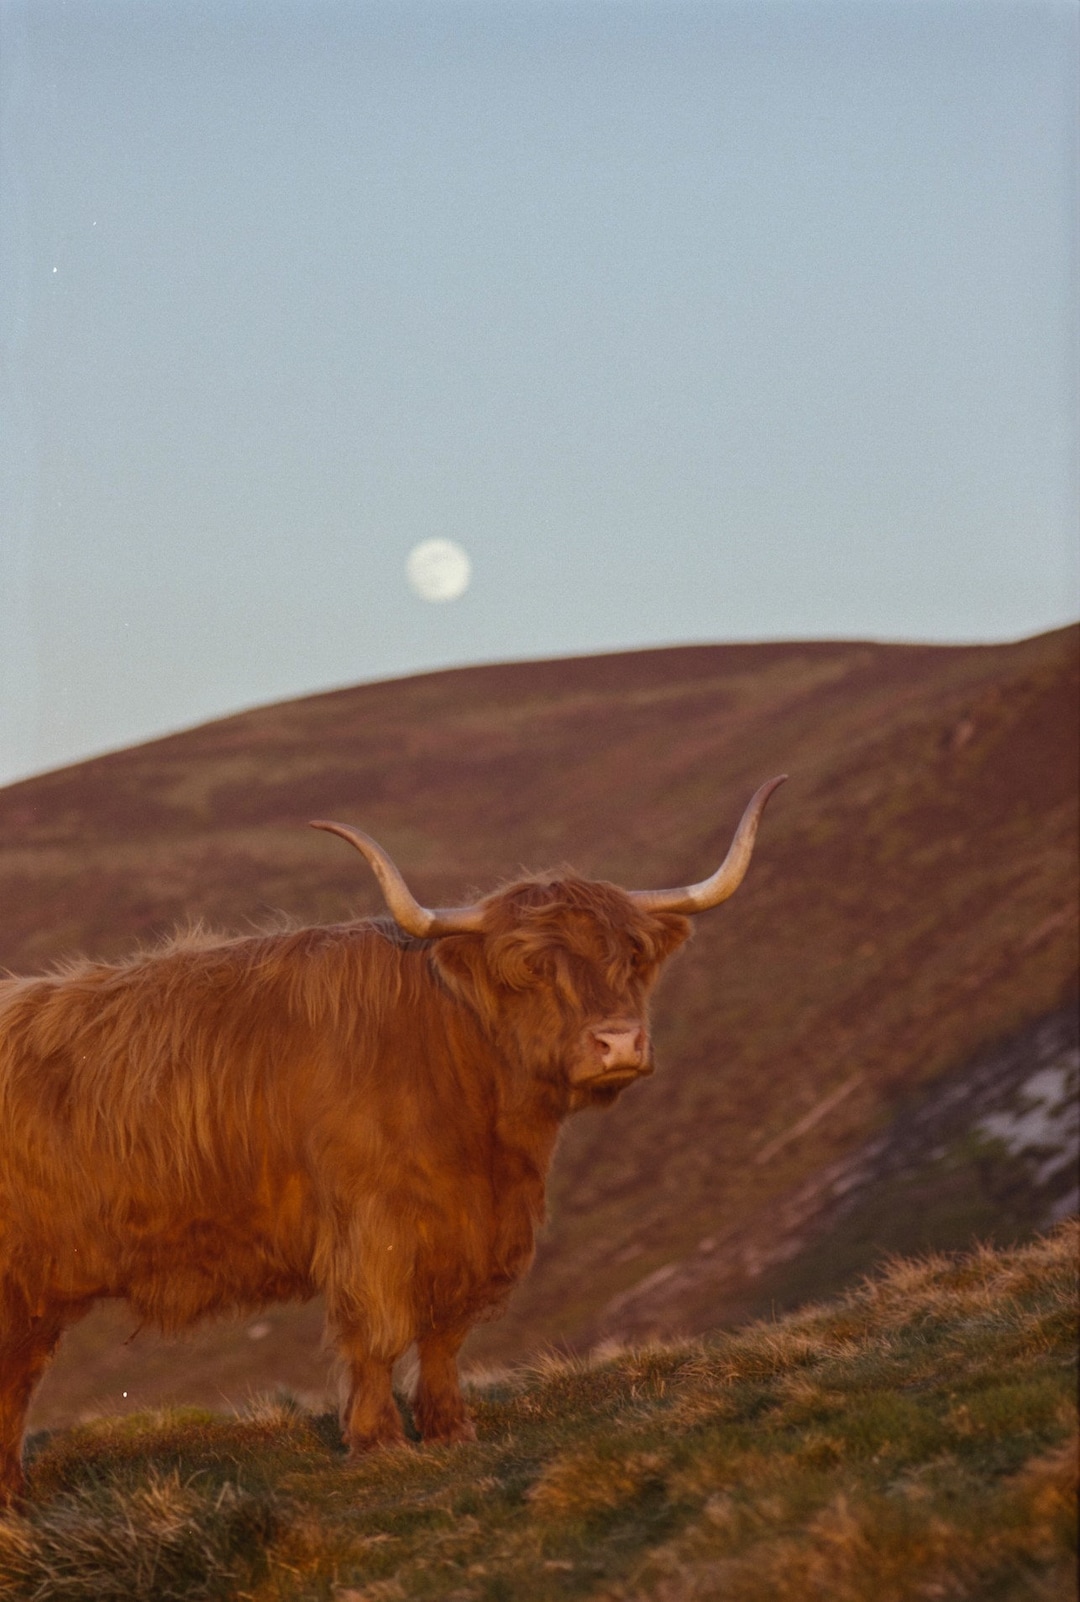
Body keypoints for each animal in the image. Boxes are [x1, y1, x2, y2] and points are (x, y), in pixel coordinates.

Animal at [0, 777, 785, 1502]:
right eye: (528, 969)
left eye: (631, 956)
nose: (618, 1042)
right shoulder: (370, 1226)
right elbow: (376, 1330)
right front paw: (378, 1441)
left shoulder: (470, 1231)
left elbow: (444, 1331)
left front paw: (448, 1428)